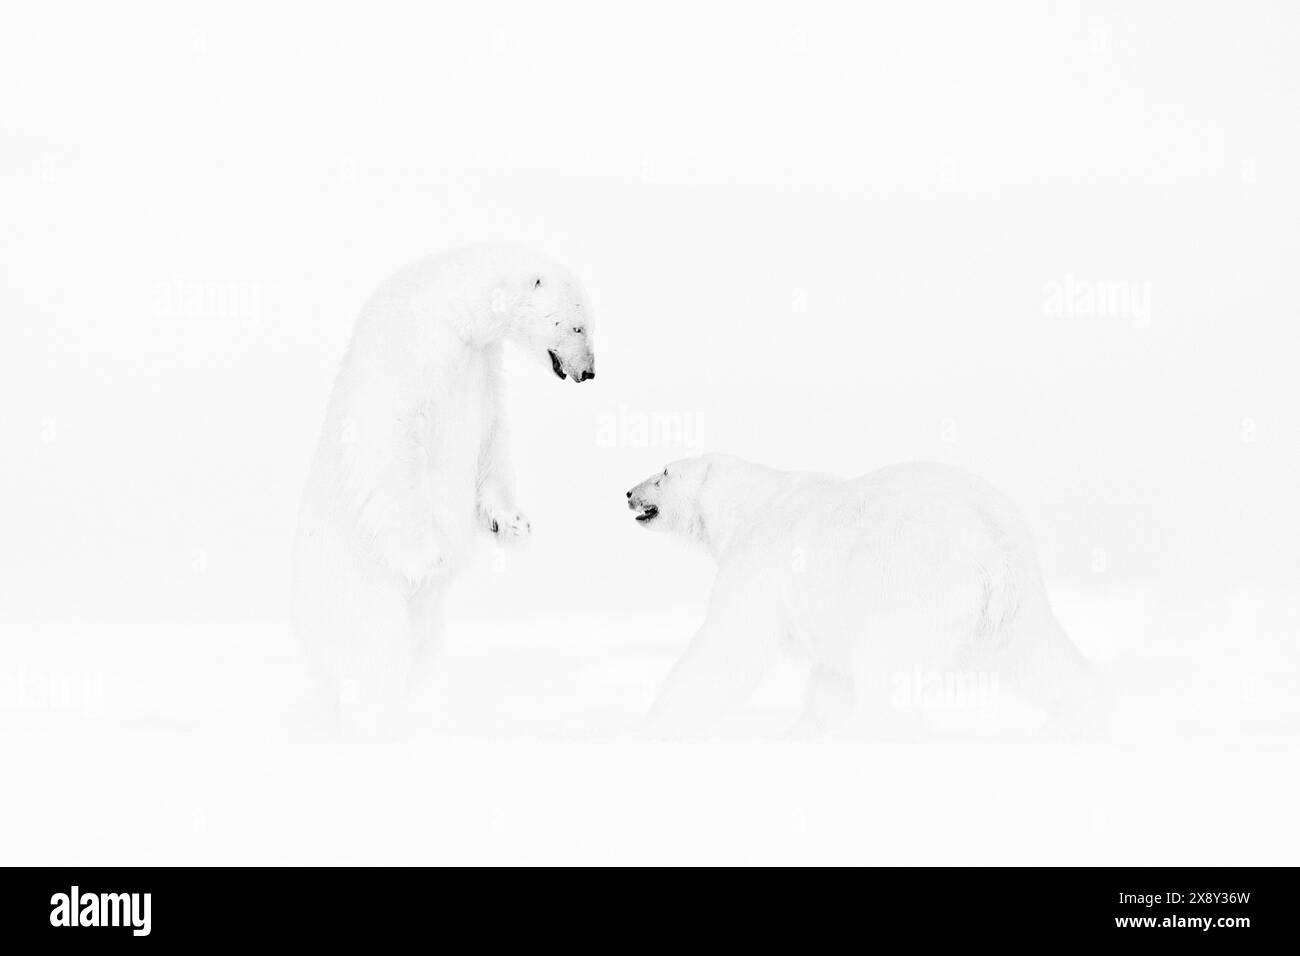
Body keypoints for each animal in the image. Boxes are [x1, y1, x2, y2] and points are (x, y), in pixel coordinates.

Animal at [293, 243, 595, 723]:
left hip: (423, 620)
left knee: (419, 650)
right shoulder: (410, 347)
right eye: (576, 324)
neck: (453, 311)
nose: (590, 372)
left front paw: (512, 524)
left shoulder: (483, 365)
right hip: (356, 590)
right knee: (376, 652)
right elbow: (390, 436)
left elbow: (492, 435)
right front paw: (429, 554)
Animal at [624, 452, 1092, 738]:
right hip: (1012, 604)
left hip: (914, 588)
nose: (629, 492)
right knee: (1036, 655)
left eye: (664, 473)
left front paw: (657, 721)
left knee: (889, 670)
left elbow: (729, 644)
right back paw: (1078, 715)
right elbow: (832, 673)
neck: (747, 506)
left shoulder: (761, 565)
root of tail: (994, 542)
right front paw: (802, 732)